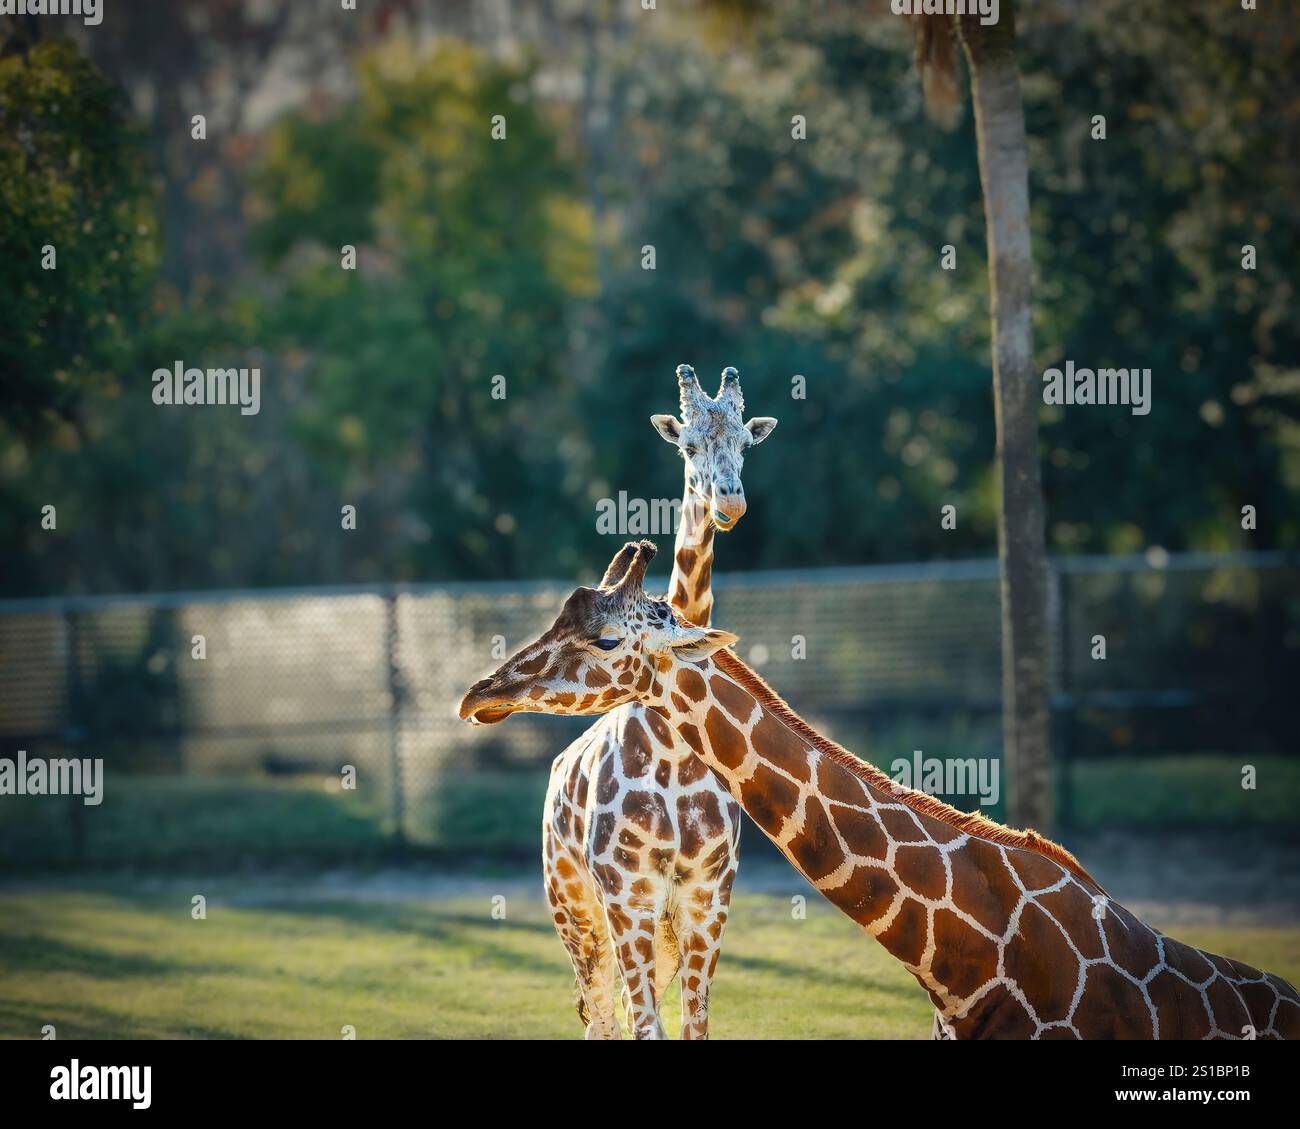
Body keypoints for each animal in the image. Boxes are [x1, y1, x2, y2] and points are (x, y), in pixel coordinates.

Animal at [539, 364, 777, 1040]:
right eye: (688, 446)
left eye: (745, 444)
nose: (729, 504)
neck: (673, 746)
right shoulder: (628, 892)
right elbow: (643, 1025)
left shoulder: (708, 893)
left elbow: (692, 1025)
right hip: (576, 910)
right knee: (599, 1014)